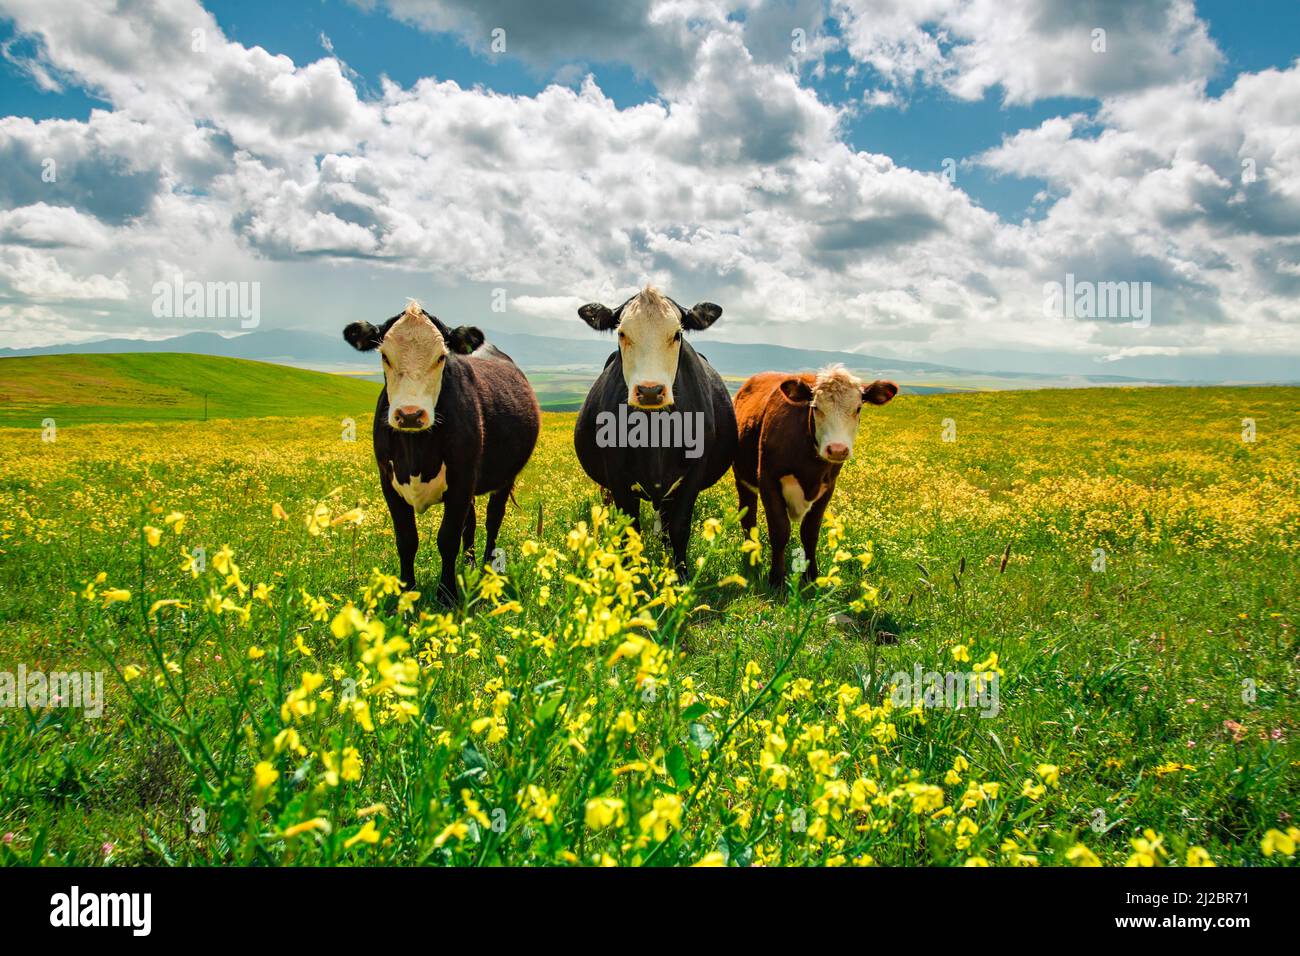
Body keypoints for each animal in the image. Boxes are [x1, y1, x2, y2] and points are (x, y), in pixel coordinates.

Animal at [343, 302, 540, 604]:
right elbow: (407, 540)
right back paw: (469, 564)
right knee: (471, 523)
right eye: (385, 355)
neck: (415, 452)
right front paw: (406, 592)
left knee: (493, 520)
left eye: (441, 357)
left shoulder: (461, 479)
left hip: (505, 477)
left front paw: (446, 594)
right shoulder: (388, 481)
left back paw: (486, 569)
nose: (410, 415)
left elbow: (447, 538)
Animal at [574, 286, 737, 572]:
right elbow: (629, 532)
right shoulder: (616, 474)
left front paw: (681, 576)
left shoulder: (695, 471)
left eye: (677, 334)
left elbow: (680, 528)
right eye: (622, 333)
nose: (650, 390)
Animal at [733, 365, 897, 589]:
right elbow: (779, 530)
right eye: (817, 407)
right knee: (748, 517)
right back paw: (752, 557)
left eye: (858, 408)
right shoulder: (768, 480)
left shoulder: (827, 488)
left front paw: (811, 576)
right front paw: (776, 579)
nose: (837, 449)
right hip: (743, 479)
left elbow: (810, 532)